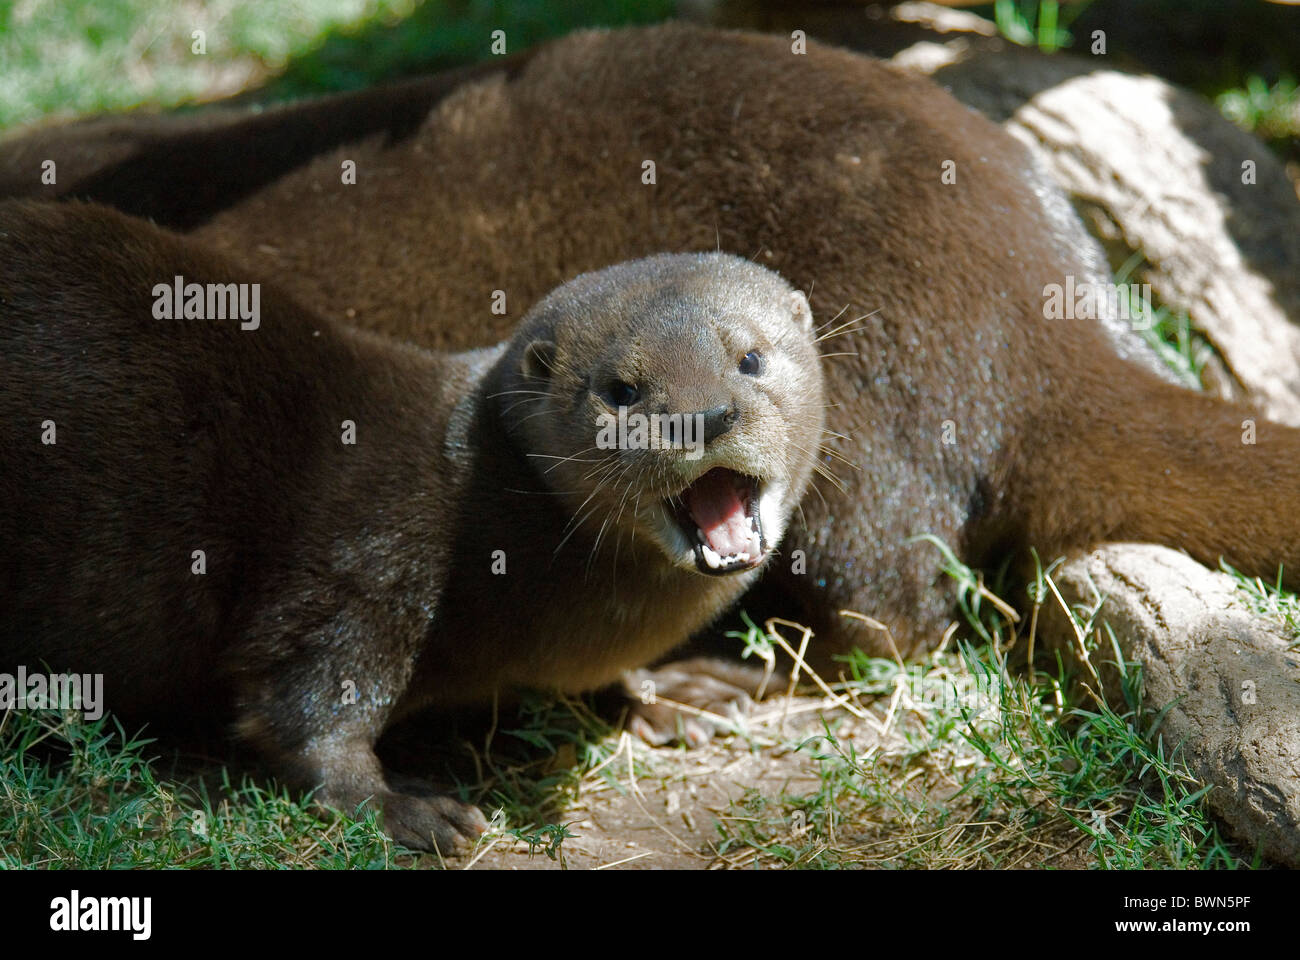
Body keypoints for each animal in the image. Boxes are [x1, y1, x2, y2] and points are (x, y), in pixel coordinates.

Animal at [0, 199, 825, 850]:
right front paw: (405, 809)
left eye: (751, 358)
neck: (489, 516)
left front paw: (670, 692)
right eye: (622, 390)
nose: (703, 415)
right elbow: (302, 710)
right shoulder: (365, 562)